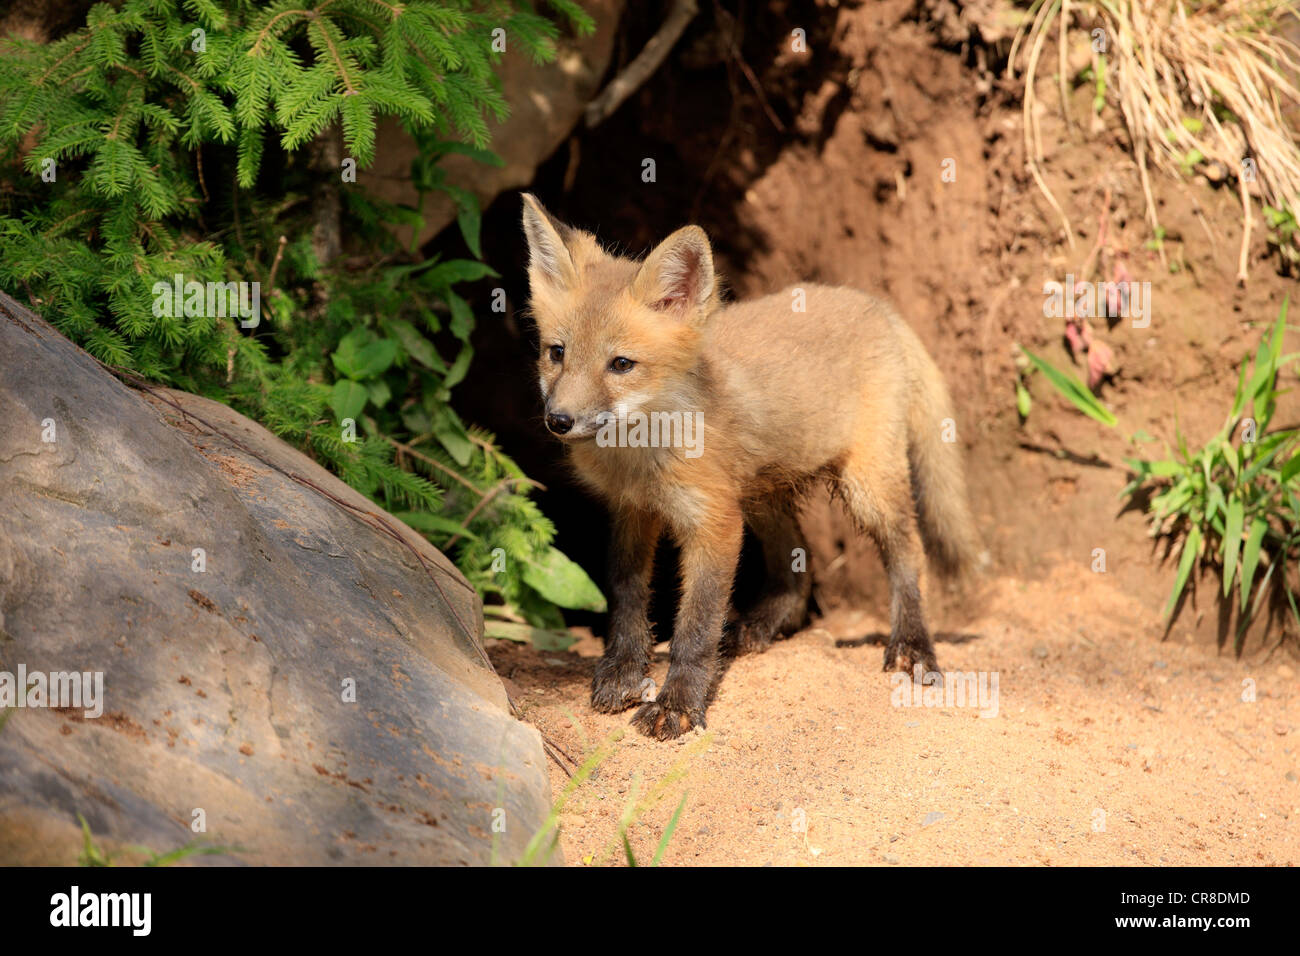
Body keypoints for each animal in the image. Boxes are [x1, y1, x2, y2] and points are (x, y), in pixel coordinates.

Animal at [521, 193, 980, 740]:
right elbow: (626, 595)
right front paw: (625, 671)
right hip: (760, 496)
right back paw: (759, 628)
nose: (558, 420)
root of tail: (876, 305)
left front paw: (678, 703)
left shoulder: (715, 524)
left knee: (909, 552)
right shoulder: (631, 511)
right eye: (557, 353)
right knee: (798, 564)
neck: (640, 457)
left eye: (621, 365)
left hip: (864, 486)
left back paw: (913, 644)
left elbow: (695, 625)